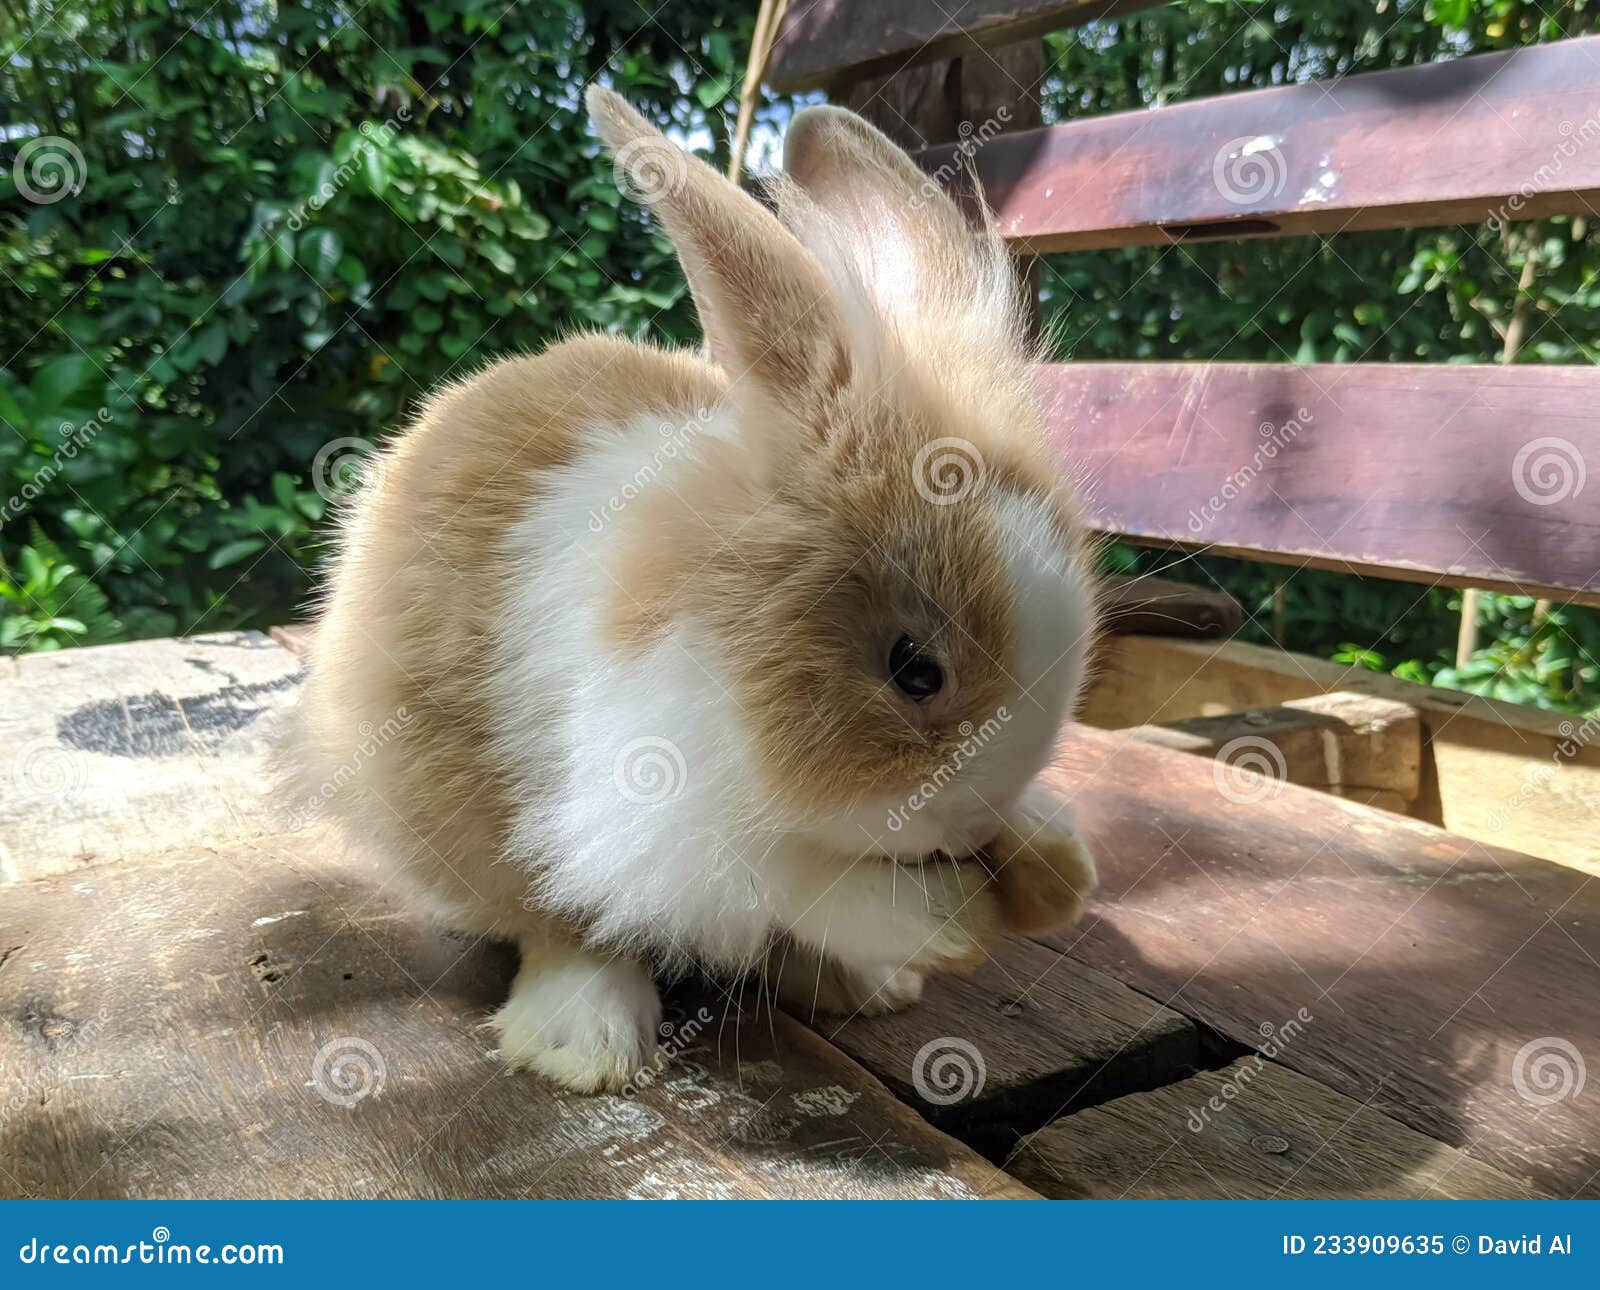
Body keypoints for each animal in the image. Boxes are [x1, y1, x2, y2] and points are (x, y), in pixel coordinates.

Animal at [283, 86, 1099, 1095]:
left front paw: (1056, 866)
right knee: (555, 923)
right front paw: (943, 918)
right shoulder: (654, 809)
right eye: (915, 669)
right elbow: (793, 883)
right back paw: (581, 1044)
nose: (971, 825)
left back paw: (868, 987)